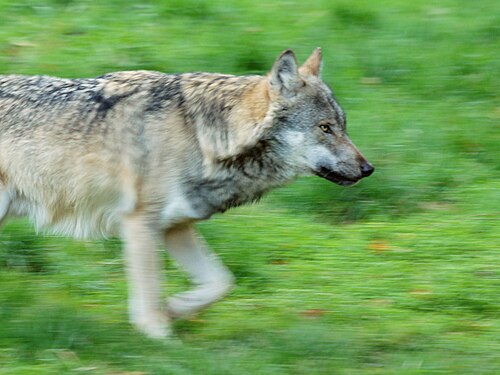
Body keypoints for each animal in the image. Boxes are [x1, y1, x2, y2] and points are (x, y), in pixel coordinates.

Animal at [0, 48, 374, 340]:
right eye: (325, 128)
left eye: (343, 126)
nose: (368, 168)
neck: (198, 135)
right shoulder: (140, 224)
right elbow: (150, 296)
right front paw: (160, 339)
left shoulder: (176, 228)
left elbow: (221, 282)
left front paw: (177, 308)